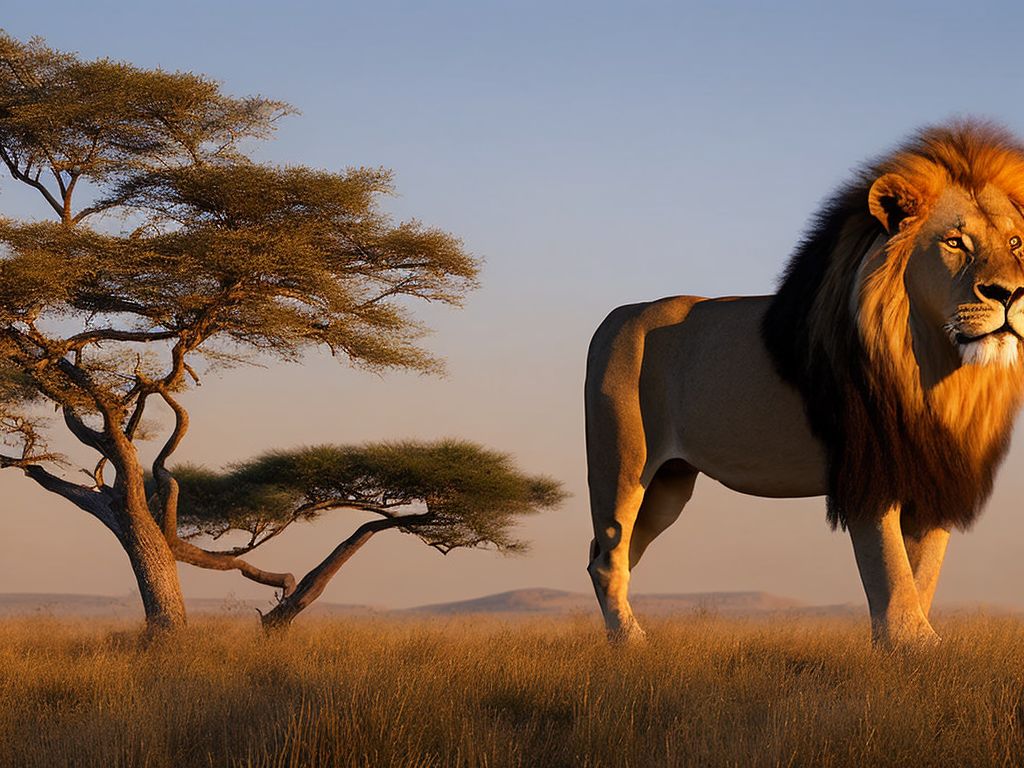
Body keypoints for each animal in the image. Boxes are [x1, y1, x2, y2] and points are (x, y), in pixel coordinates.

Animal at [586, 120, 1024, 647]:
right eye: (956, 242)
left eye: (1016, 243)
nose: (1010, 294)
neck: (940, 370)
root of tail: (615, 318)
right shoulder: (868, 470)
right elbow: (890, 569)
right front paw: (913, 645)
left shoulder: (936, 474)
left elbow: (922, 573)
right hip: (622, 467)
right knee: (608, 556)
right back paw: (631, 643)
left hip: (669, 484)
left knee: (615, 555)